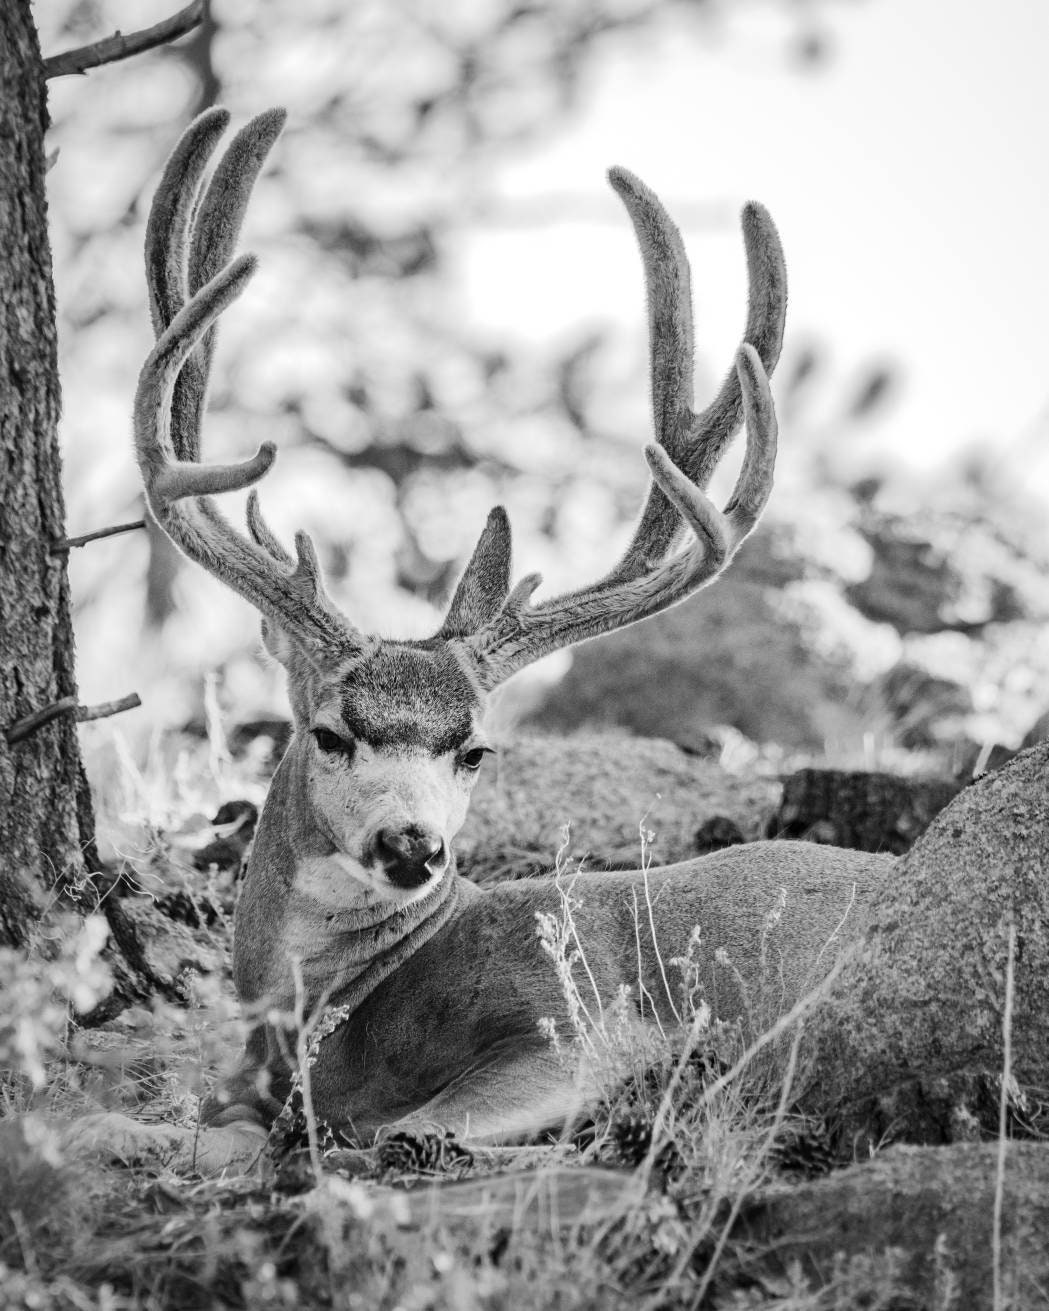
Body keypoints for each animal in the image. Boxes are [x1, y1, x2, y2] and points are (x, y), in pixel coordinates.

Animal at [68, 109, 893, 1174]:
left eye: (474, 750)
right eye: (330, 732)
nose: (412, 843)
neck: (324, 1012)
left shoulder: (573, 1020)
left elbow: (392, 1129)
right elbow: (164, 1129)